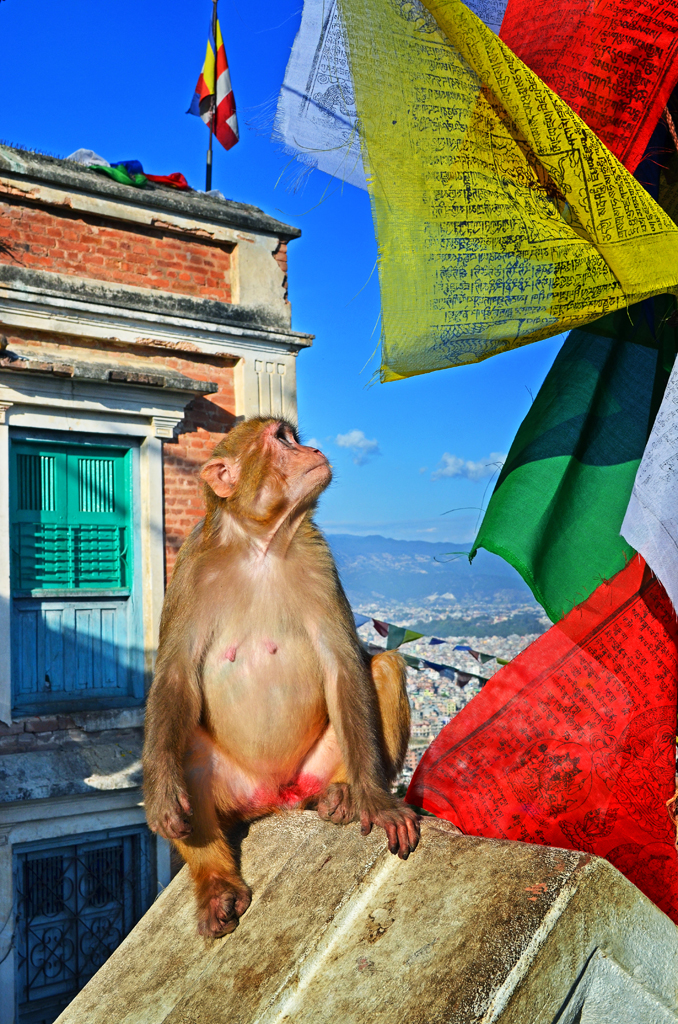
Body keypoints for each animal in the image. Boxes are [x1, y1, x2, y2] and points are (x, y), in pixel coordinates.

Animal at [143, 416, 419, 938]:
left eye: (293, 437)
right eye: (280, 440)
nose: (313, 450)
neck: (260, 545)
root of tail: (277, 798)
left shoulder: (318, 559)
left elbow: (344, 665)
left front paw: (376, 800)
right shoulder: (190, 566)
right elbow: (175, 677)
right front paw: (162, 793)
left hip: (315, 770)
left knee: (385, 666)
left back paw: (344, 795)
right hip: (235, 791)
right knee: (187, 745)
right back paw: (217, 883)